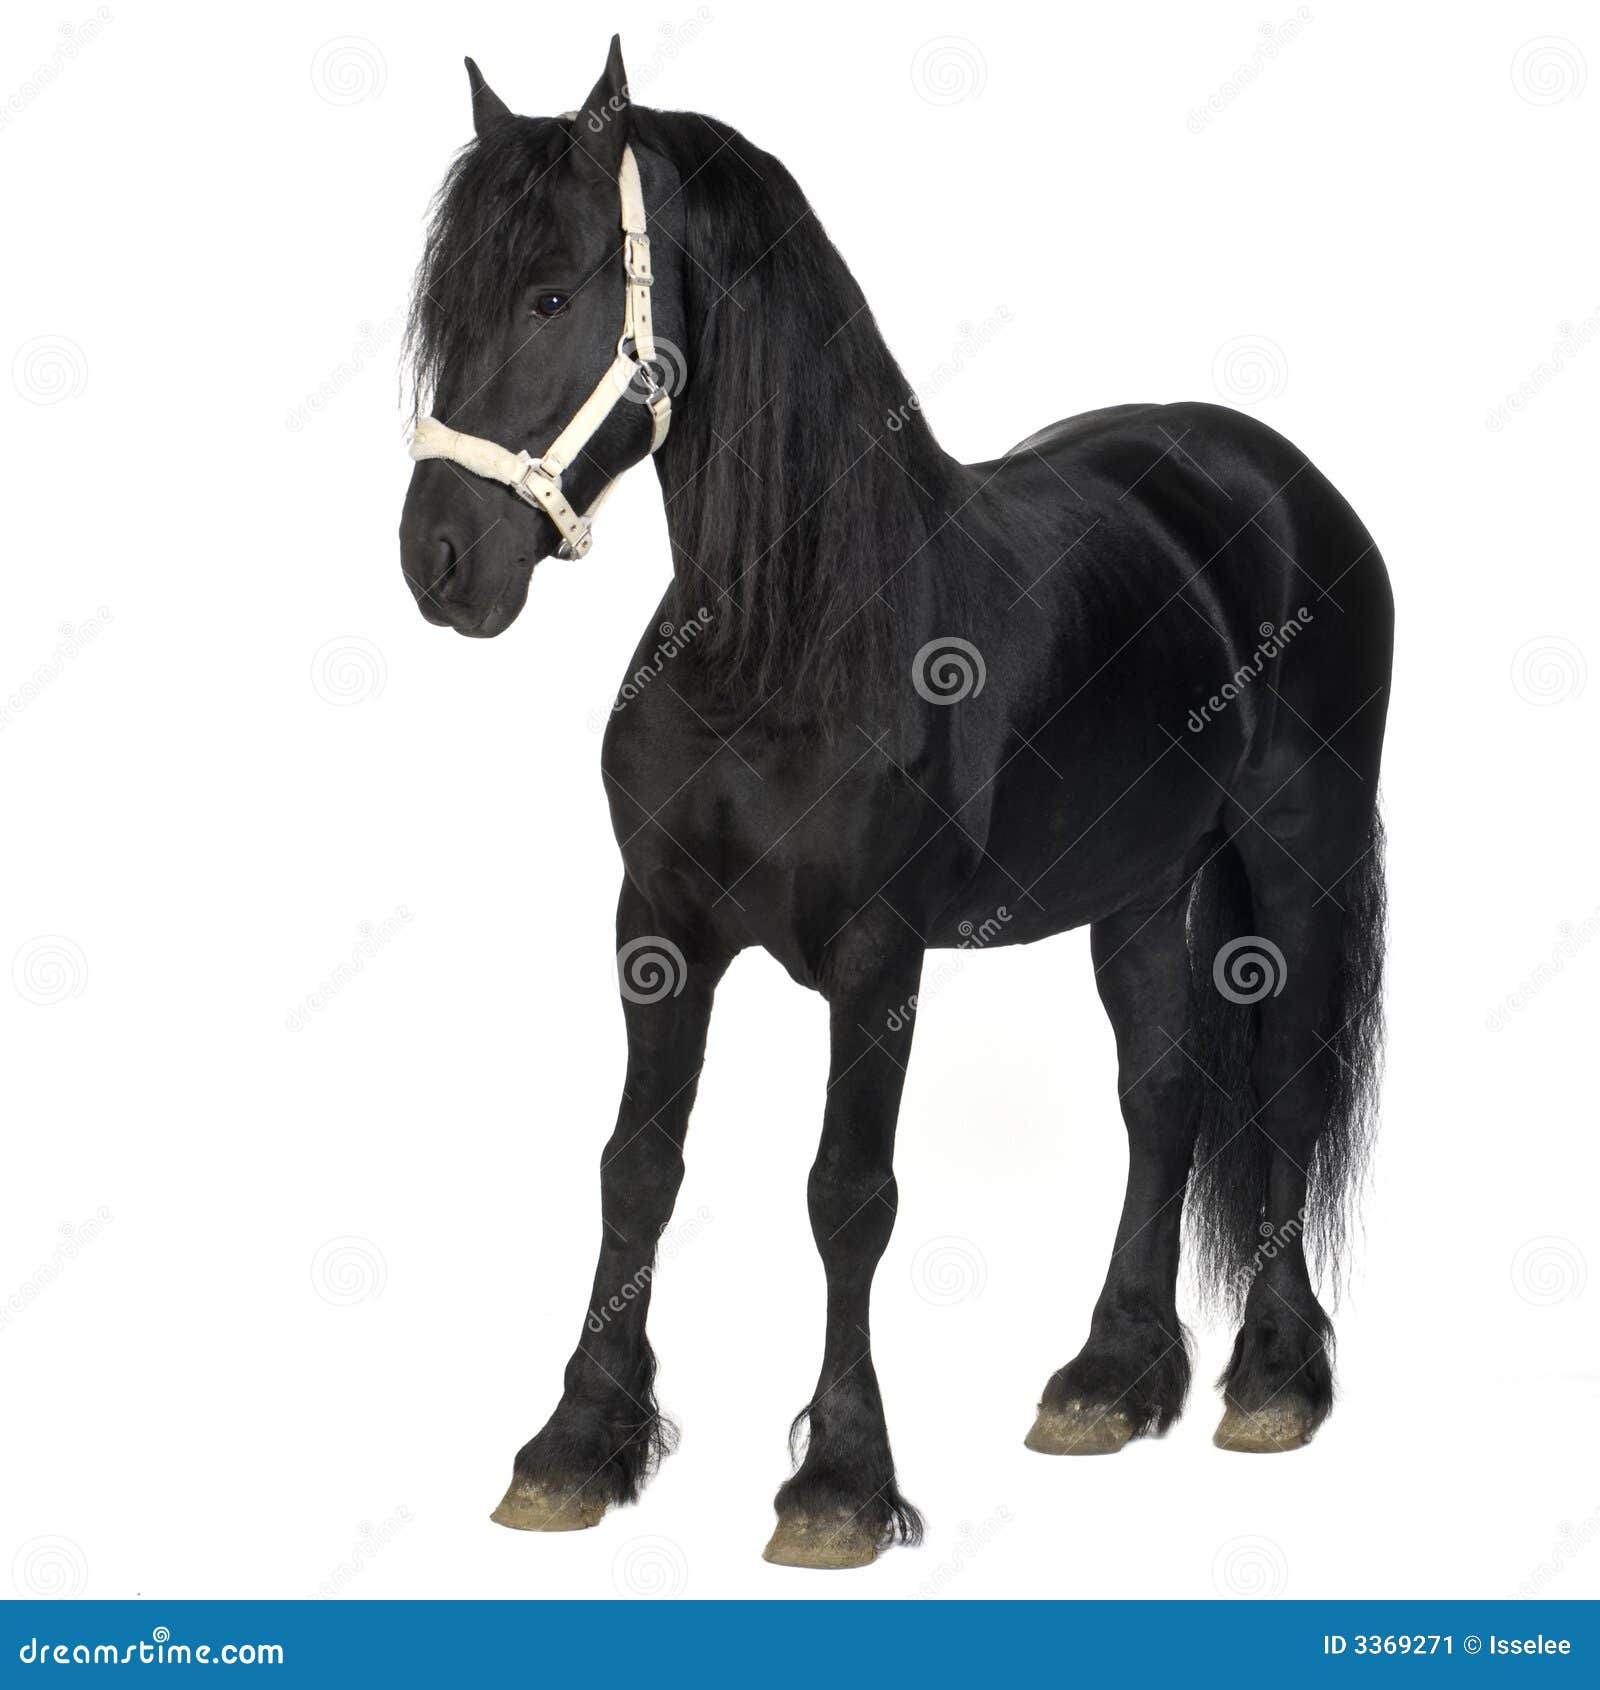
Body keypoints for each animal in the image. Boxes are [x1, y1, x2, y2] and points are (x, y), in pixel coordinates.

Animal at [396, 37, 1392, 1570]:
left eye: (555, 291)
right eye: (448, 305)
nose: (439, 560)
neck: (783, 649)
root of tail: (1274, 478)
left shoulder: (878, 954)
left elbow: (846, 1194)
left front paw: (839, 1482)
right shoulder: (656, 927)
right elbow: (637, 1165)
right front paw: (575, 1445)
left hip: (1297, 859)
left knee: (1280, 1083)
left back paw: (1274, 1381)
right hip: (1141, 887)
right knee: (1164, 1095)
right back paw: (1110, 1378)